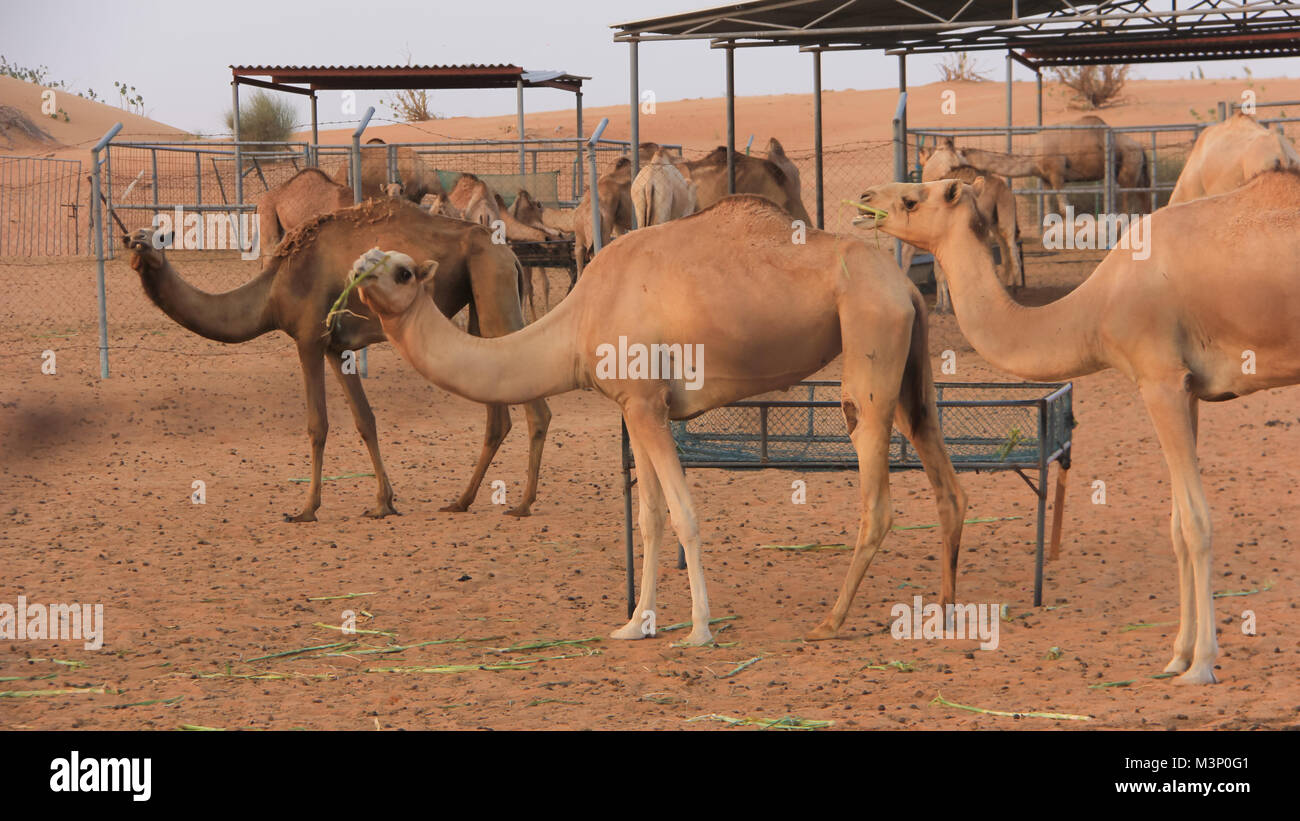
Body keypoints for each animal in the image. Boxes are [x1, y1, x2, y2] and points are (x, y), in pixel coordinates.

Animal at [124, 197, 551, 522]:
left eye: (158, 237)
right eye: (132, 237)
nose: (137, 246)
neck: (271, 293)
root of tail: (509, 254)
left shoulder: (309, 339)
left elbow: (318, 425)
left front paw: (305, 509)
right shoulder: (336, 347)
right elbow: (365, 421)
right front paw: (383, 503)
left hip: (492, 285)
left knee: (533, 401)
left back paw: (523, 504)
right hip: (481, 300)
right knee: (497, 412)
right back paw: (461, 501)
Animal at [349, 195, 967, 646]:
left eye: (402, 271)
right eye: (368, 259)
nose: (356, 270)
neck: (577, 320)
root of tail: (905, 284)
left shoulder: (647, 404)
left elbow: (684, 514)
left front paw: (698, 632)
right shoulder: (636, 406)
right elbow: (648, 519)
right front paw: (633, 625)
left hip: (868, 343)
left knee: (877, 499)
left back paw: (831, 621)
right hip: (907, 369)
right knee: (946, 481)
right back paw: (942, 611)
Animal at [855, 171, 1300, 684]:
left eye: (912, 199)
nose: (864, 200)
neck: (1095, 310)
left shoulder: (1160, 379)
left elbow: (1195, 521)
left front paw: (1202, 664)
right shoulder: (1186, 388)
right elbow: (1175, 524)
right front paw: (1177, 656)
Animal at [899, 139, 1022, 312]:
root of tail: (1003, 189)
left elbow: (941, 270)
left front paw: (943, 306)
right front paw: (942, 304)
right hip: (1000, 222)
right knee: (1008, 251)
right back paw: (1010, 289)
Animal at [954, 116, 1150, 216]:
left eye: (957, 160)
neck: (1033, 155)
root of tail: (1140, 147)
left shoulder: (1057, 174)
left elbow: (1065, 208)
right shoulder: (1045, 179)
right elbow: (1048, 207)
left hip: (1128, 167)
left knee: (1129, 198)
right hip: (1136, 171)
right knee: (1142, 196)